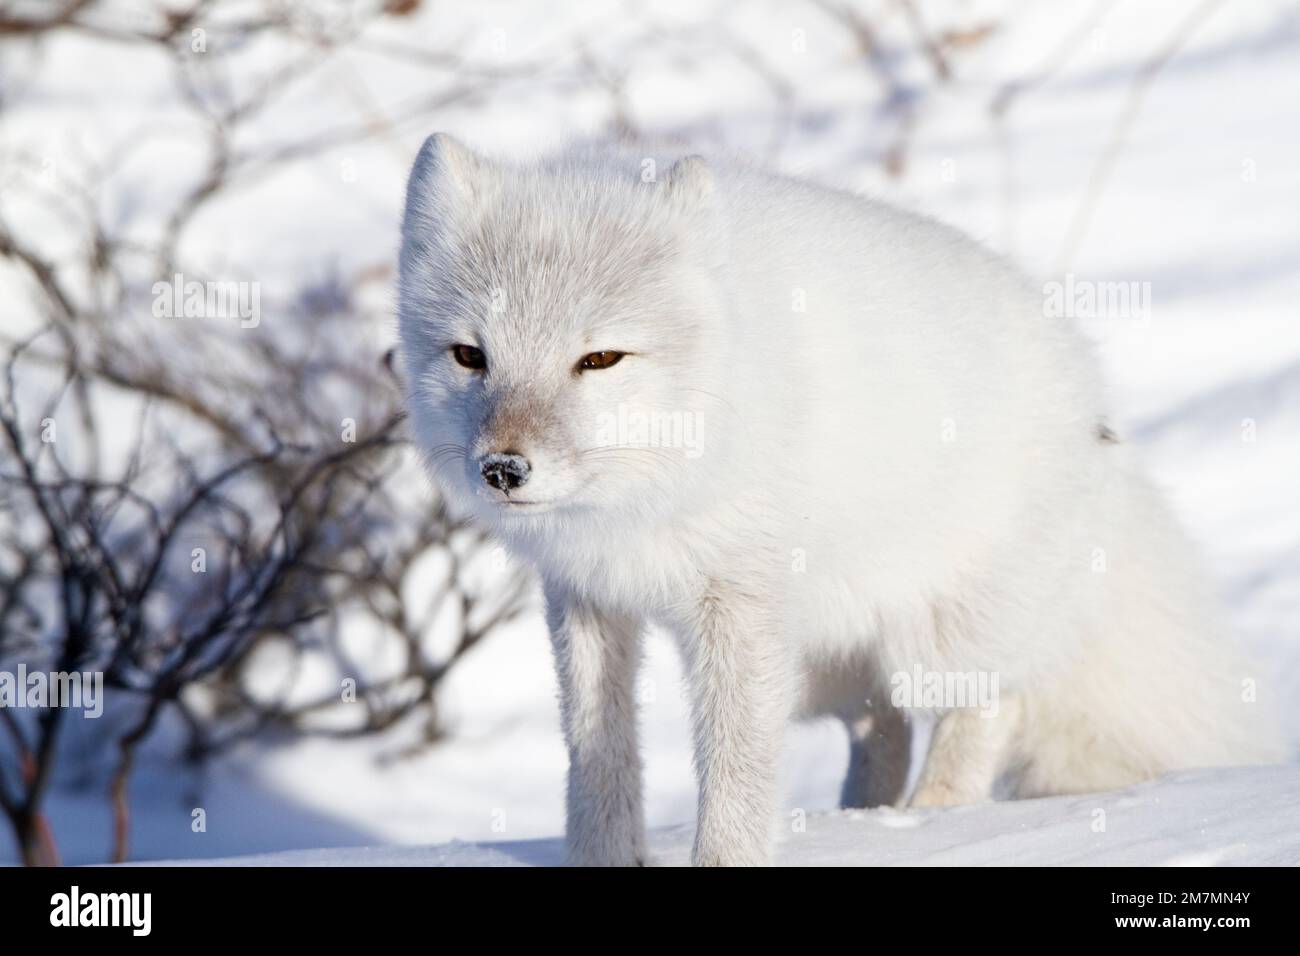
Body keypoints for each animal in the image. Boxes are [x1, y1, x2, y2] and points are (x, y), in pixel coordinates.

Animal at [397, 134, 1283, 866]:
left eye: (600, 359)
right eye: (471, 355)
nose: (503, 470)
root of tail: (1093, 390)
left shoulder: (739, 603)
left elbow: (737, 772)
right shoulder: (586, 596)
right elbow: (596, 756)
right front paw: (604, 861)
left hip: (935, 641)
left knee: (989, 707)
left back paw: (933, 826)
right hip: (827, 660)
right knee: (880, 725)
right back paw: (862, 820)